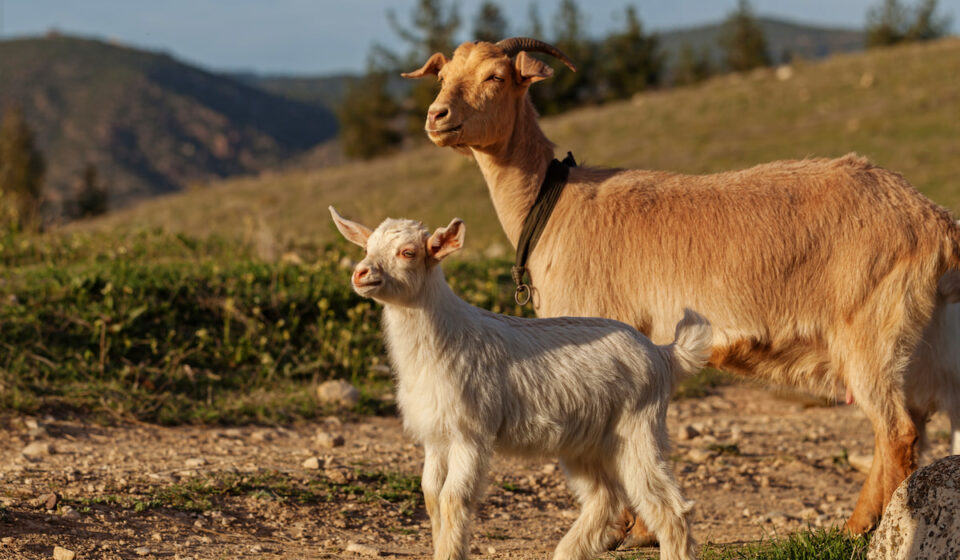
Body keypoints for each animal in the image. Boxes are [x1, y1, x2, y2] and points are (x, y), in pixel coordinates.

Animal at [329, 206, 710, 560]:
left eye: (408, 252)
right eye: (367, 247)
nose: (360, 274)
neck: (447, 338)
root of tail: (664, 354)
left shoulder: (471, 433)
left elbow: (453, 499)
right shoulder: (436, 436)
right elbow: (431, 496)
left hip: (638, 429)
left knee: (669, 508)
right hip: (585, 441)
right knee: (605, 498)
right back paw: (566, 553)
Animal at [402, 38, 960, 535]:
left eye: (496, 76)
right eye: (443, 76)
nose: (437, 116)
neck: (554, 204)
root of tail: (935, 220)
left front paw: (629, 528)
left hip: (869, 330)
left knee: (897, 431)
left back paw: (857, 528)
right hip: (928, 342)